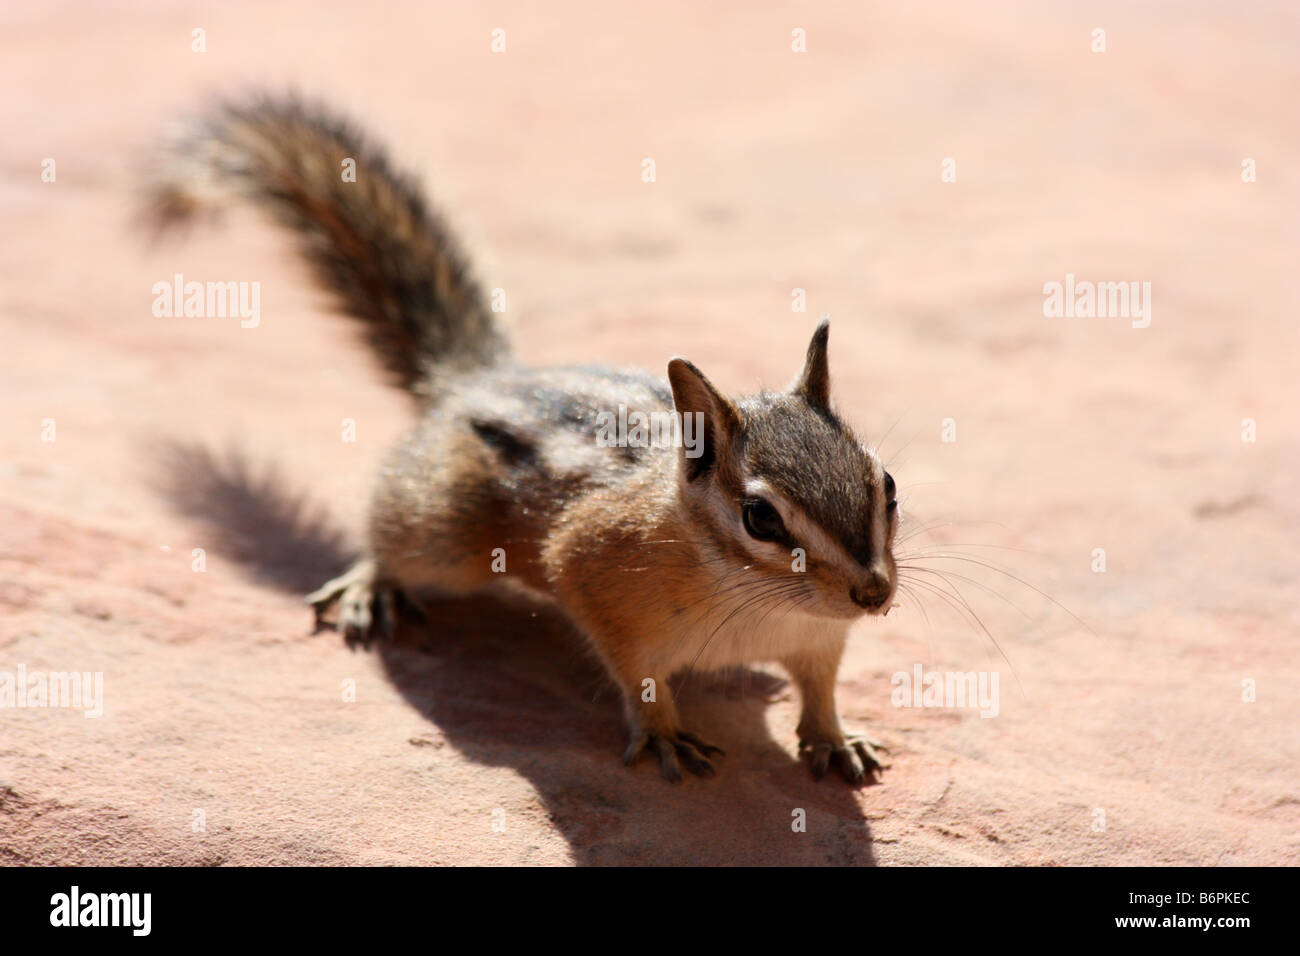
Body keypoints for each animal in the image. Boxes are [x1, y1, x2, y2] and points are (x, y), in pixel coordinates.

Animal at [146, 94, 899, 784]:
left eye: (886, 485)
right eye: (761, 517)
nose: (874, 594)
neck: (762, 599)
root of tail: (476, 377)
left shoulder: (819, 639)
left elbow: (820, 688)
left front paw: (835, 739)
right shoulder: (594, 577)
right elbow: (639, 678)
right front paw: (662, 732)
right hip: (442, 538)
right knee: (391, 541)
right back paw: (369, 585)